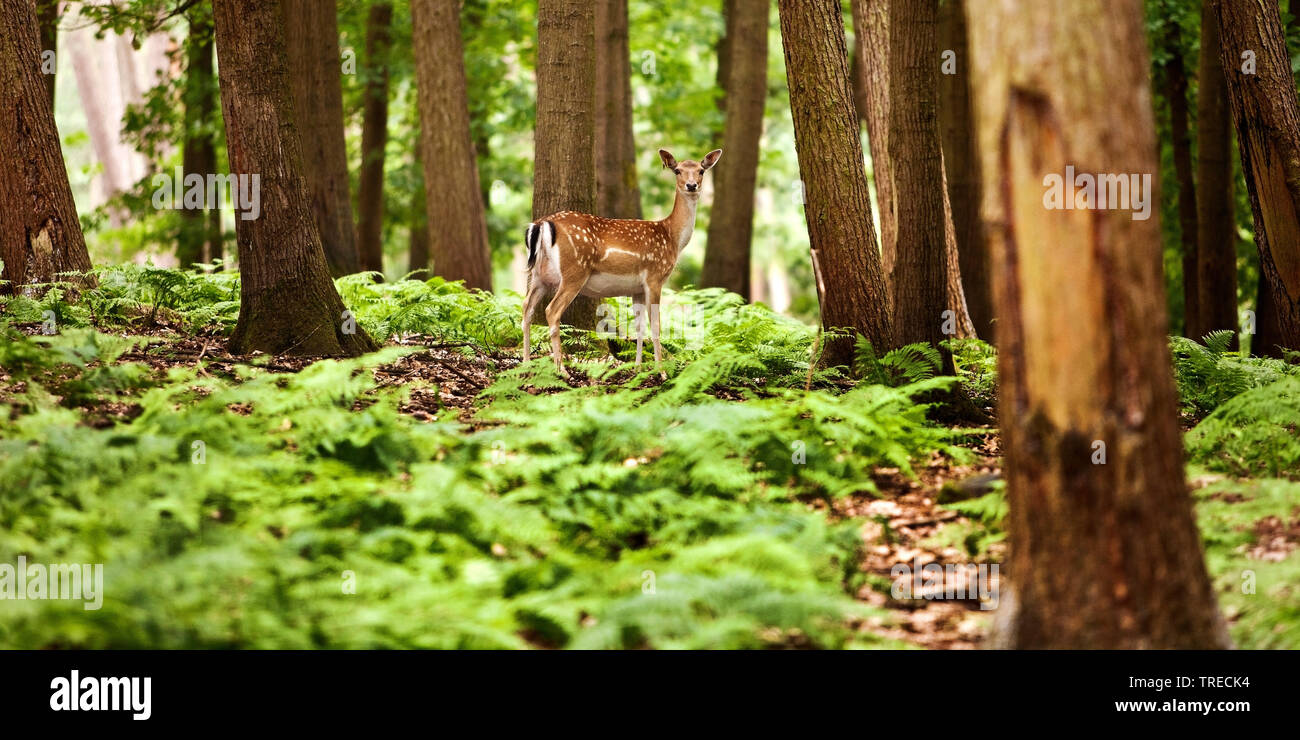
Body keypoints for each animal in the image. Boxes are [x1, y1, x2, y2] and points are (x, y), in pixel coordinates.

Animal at [521, 148, 723, 380]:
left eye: (701, 170)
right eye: (678, 170)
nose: (691, 185)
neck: (672, 237)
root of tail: (542, 224)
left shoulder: (636, 288)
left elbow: (639, 327)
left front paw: (637, 368)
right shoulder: (655, 277)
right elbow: (656, 326)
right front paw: (662, 372)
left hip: (539, 275)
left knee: (526, 308)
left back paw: (525, 363)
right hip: (574, 271)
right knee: (551, 311)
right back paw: (562, 370)